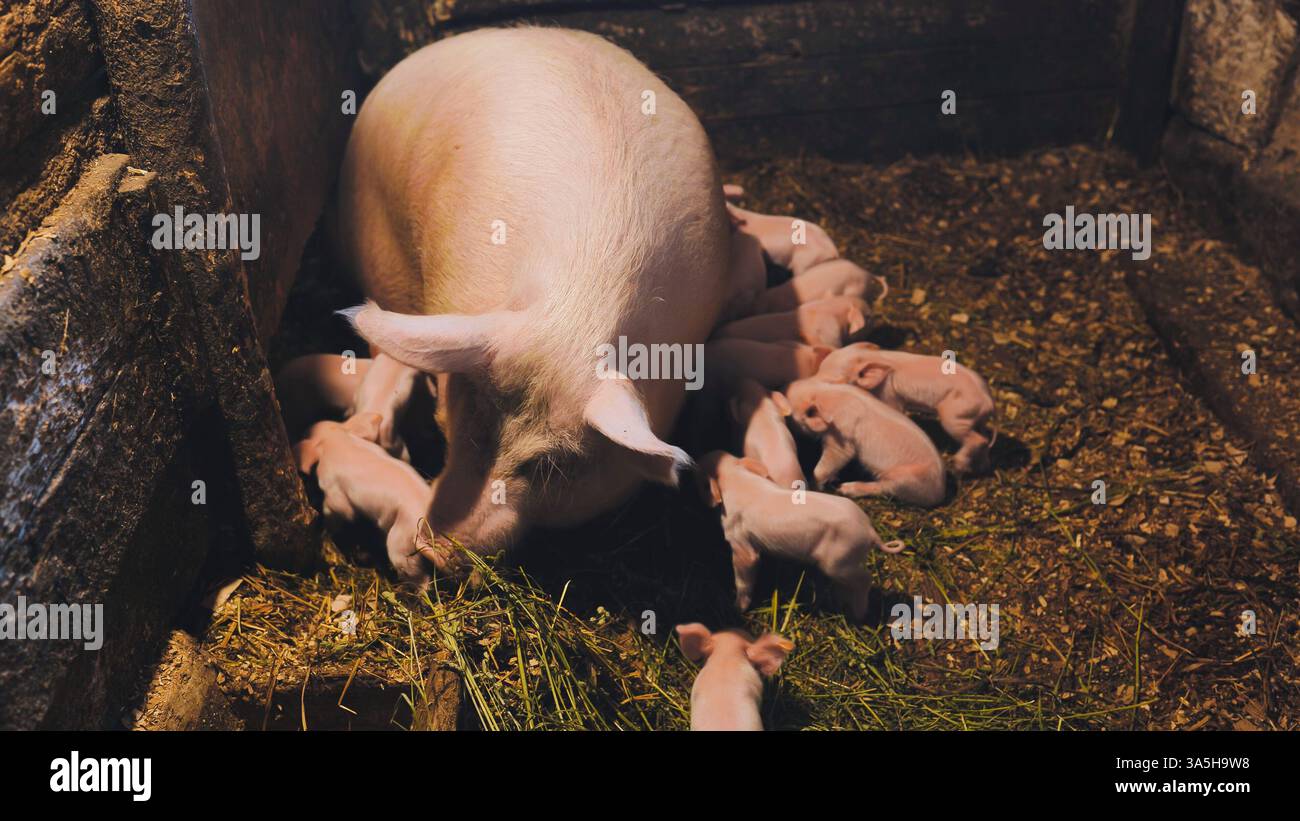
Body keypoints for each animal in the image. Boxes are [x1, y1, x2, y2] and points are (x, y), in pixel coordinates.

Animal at [293, 417, 437, 582]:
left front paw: (325, 528)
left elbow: (339, 511)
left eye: (305, 434)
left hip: (402, 544)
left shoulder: (333, 490)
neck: (338, 439)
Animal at [696, 451, 904, 619]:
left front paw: (736, 609)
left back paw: (858, 615)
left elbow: (744, 576)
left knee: (865, 579)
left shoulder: (741, 543)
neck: (737, 479)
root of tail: (870, 532)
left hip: (838, 561)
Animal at [783, 379, 946, 507]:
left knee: (884, 488)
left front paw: (814, 485)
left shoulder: (841, 442)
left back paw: (845, 488)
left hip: (903, 479)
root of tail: (939, 492)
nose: (781, 387)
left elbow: (827, 465)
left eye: (791, 416)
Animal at [818, 345, 996, 474]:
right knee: (984, 439)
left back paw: (958, 466)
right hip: (972, 418)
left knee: (977, 439)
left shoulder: (889, 393)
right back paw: (983, 468)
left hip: (954, 417)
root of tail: (988, 401)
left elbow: (895, 409)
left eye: (838, 381)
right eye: (820, 369)